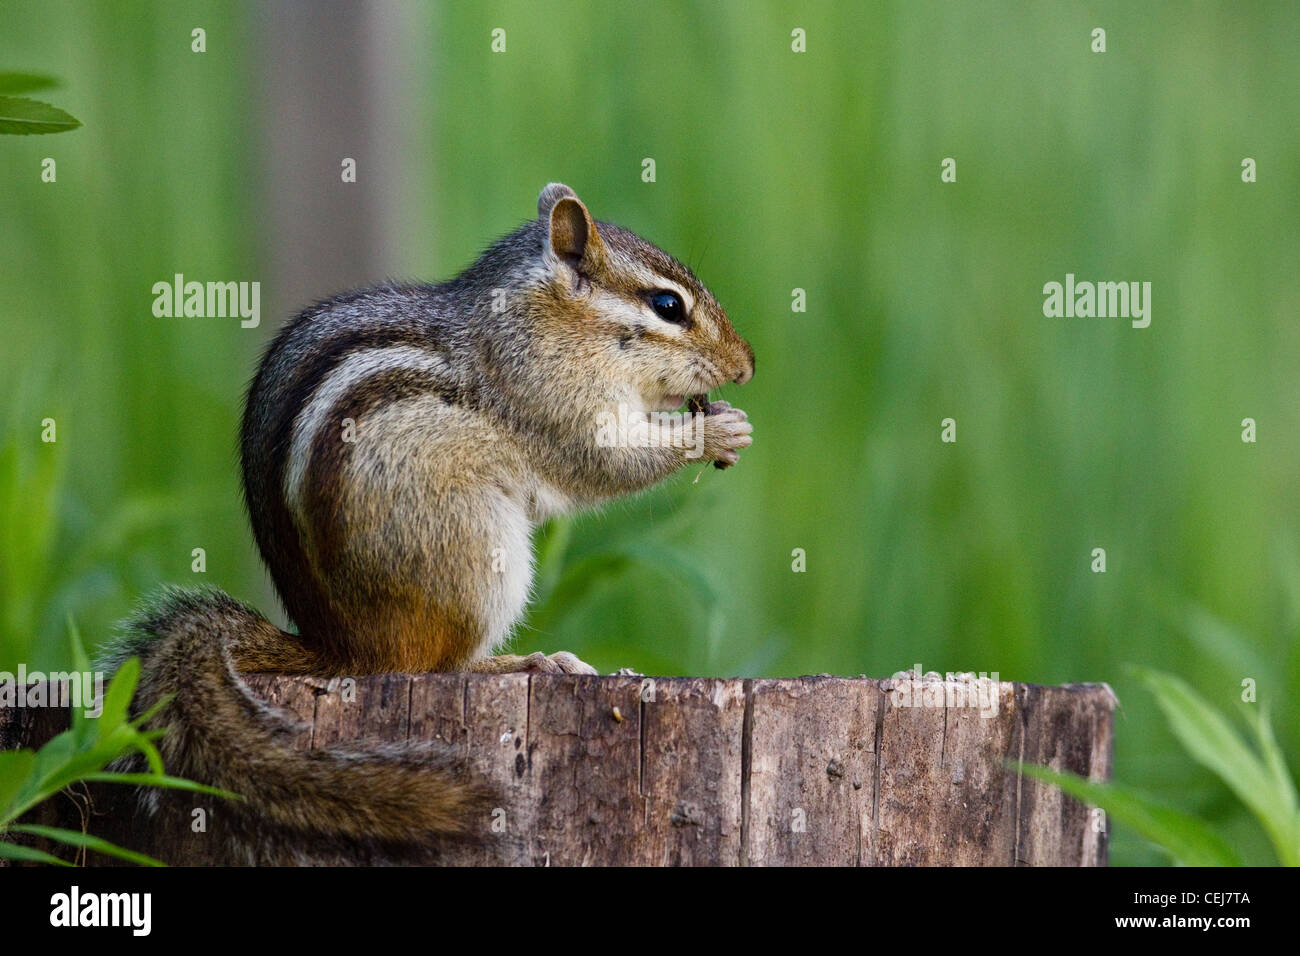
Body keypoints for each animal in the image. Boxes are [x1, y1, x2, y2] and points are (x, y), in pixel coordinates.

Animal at [97, 183, 755, 864]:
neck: (541, 320)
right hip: (479, 557)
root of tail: (339, 649)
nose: (747, 365)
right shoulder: (553, 401)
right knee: (437, 664)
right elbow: (605, 462)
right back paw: (526, 663)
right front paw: (715, 432)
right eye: (667, 305)